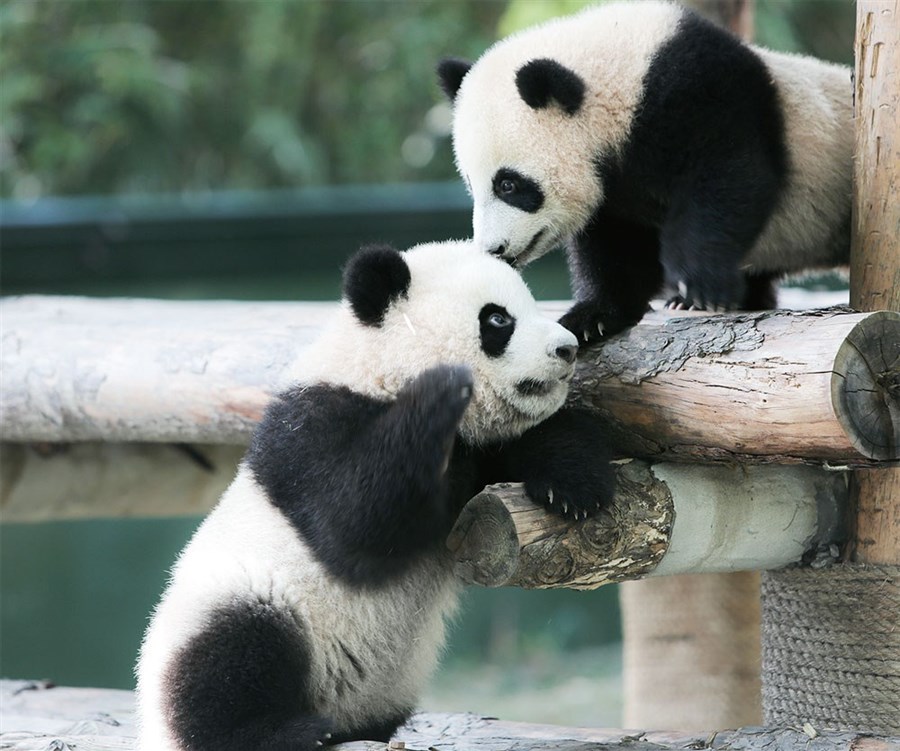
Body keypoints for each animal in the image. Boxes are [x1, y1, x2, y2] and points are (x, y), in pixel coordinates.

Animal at [135, 240, 616, 751]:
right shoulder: (314, 427)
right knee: (229, 658)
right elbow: (352, 525)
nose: (566, 348)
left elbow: (534, 441)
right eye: (498, 319)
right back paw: (289, 731)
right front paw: (441, 389)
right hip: (233, 602)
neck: (375, 368)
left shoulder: (479, 447)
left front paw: (576, 486)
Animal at [437, 0, 852, 342]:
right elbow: (616, 246)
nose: (494, 250)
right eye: (473, 186)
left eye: (508, 185)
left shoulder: (701, 93)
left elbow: (730, 178)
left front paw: (701, 285)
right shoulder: (615, 191)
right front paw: (594, 317)